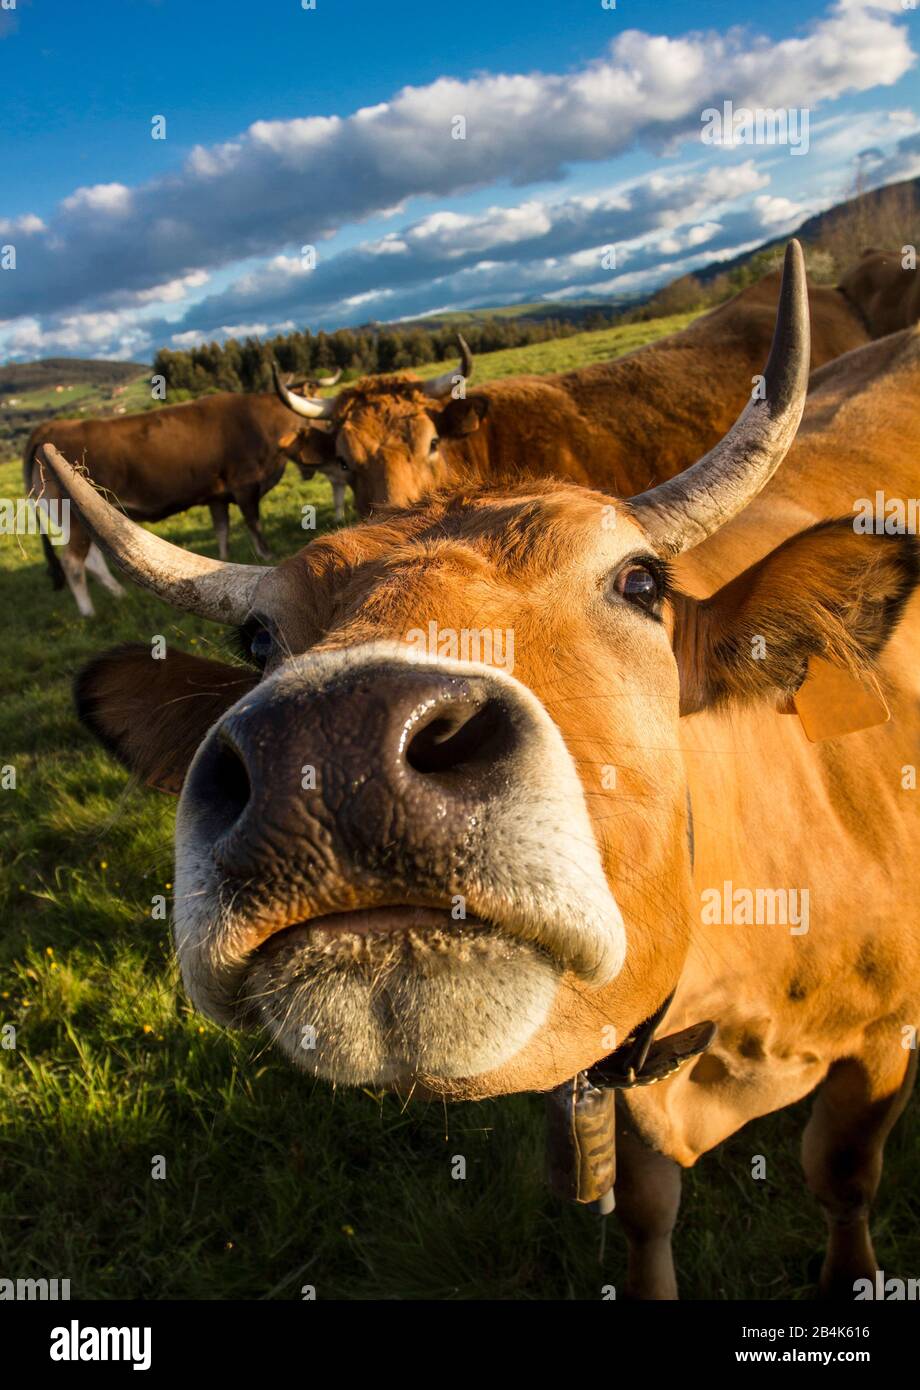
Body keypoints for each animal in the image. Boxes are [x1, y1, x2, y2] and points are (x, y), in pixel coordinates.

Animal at [23, 391, 322, 617]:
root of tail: (52, 426)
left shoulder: (216, 497)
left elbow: (222, 530)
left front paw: (224, 559)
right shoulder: (245, 485)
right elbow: (253, 522)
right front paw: (266, 555)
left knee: (92, 559)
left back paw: (120, 594)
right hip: (73, 517)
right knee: (73, 562)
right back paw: (89, 612)